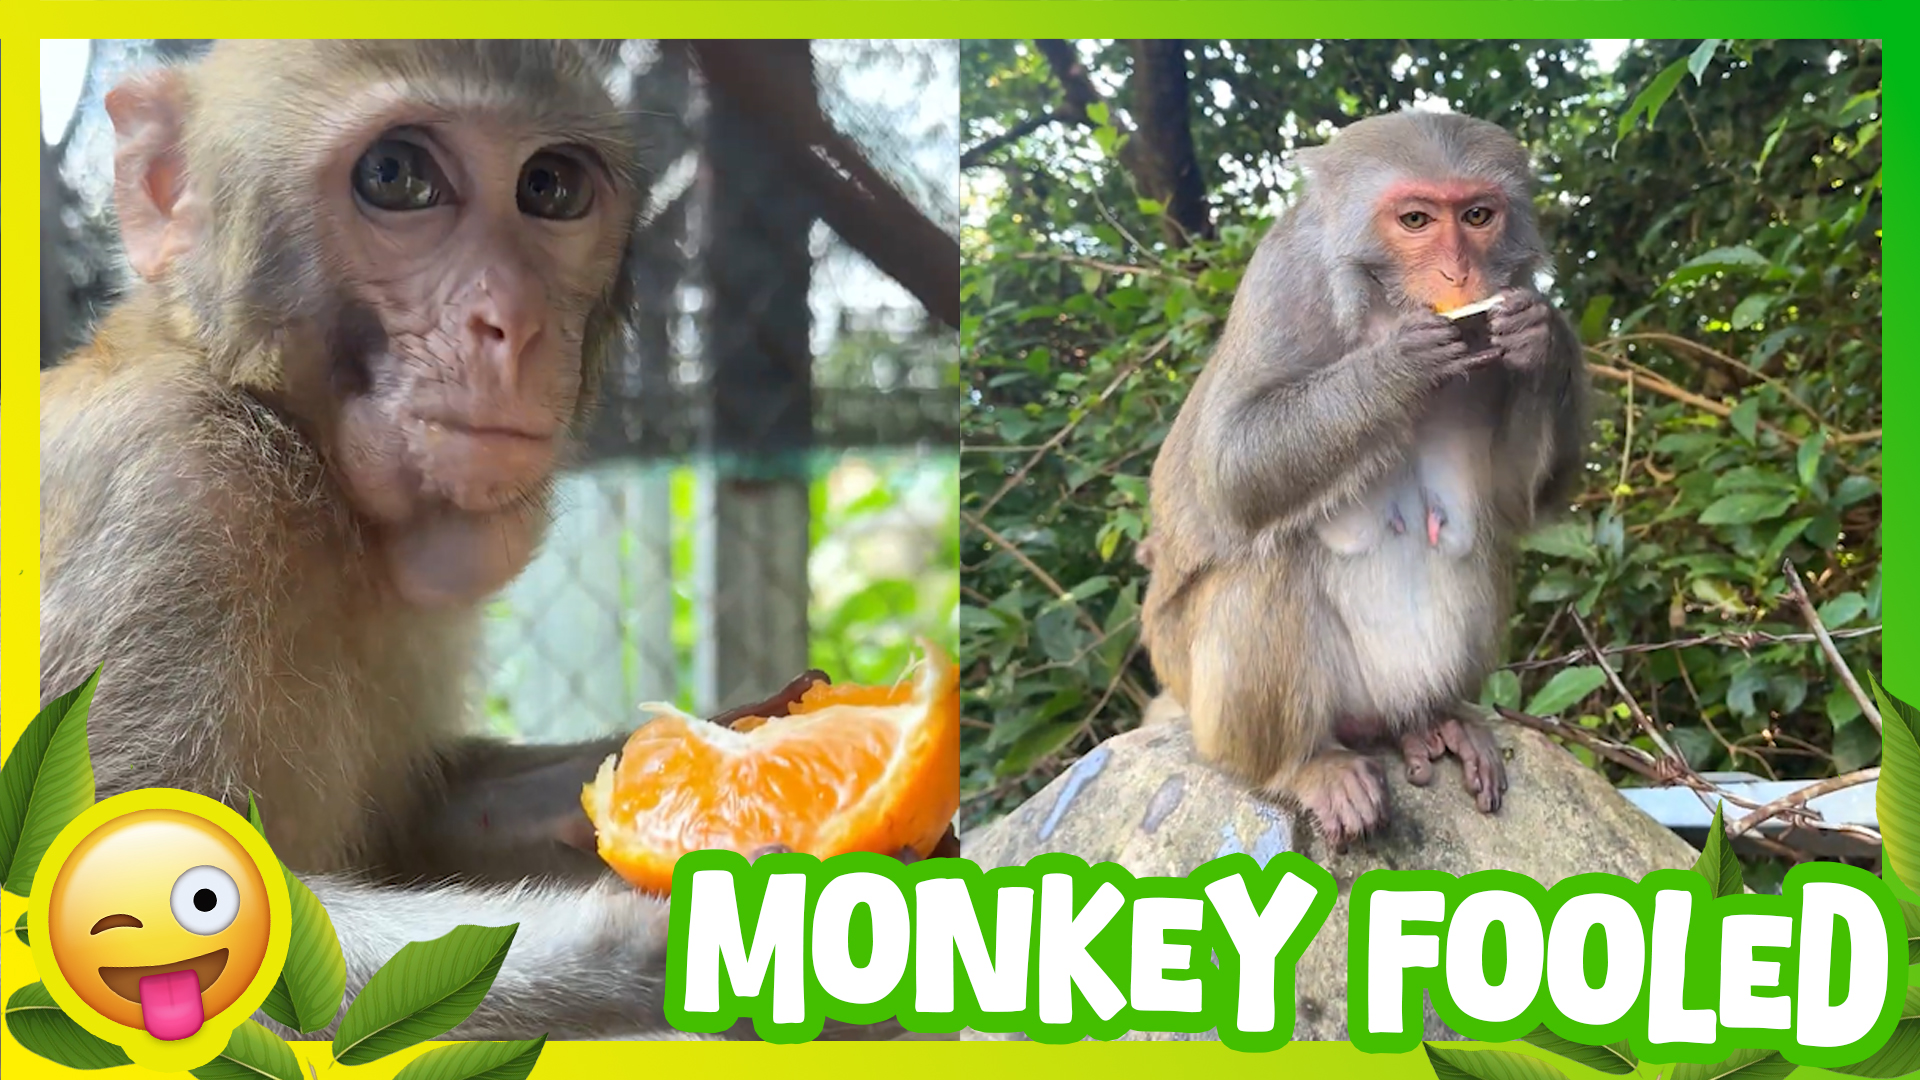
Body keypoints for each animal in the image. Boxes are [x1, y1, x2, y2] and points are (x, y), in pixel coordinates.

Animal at [38, 41, 937, 1042]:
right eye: (396, 177)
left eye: (549, 188)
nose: (517, 323)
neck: (301, 461)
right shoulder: (161, 502)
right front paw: (692, 943)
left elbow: (420, 817)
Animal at [1138, 111, 1589, 851]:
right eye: (1415, 219)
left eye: (1477, 214)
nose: (1458, 270)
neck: (1380, 303)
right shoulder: (1283, 279)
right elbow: (1232, 466)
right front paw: (1399, 366)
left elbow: (1515, 502)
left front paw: (1542, 342)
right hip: (1203, 690)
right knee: (1267, 561)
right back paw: (1301, 766)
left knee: (1481, 540)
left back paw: (1432, 721)